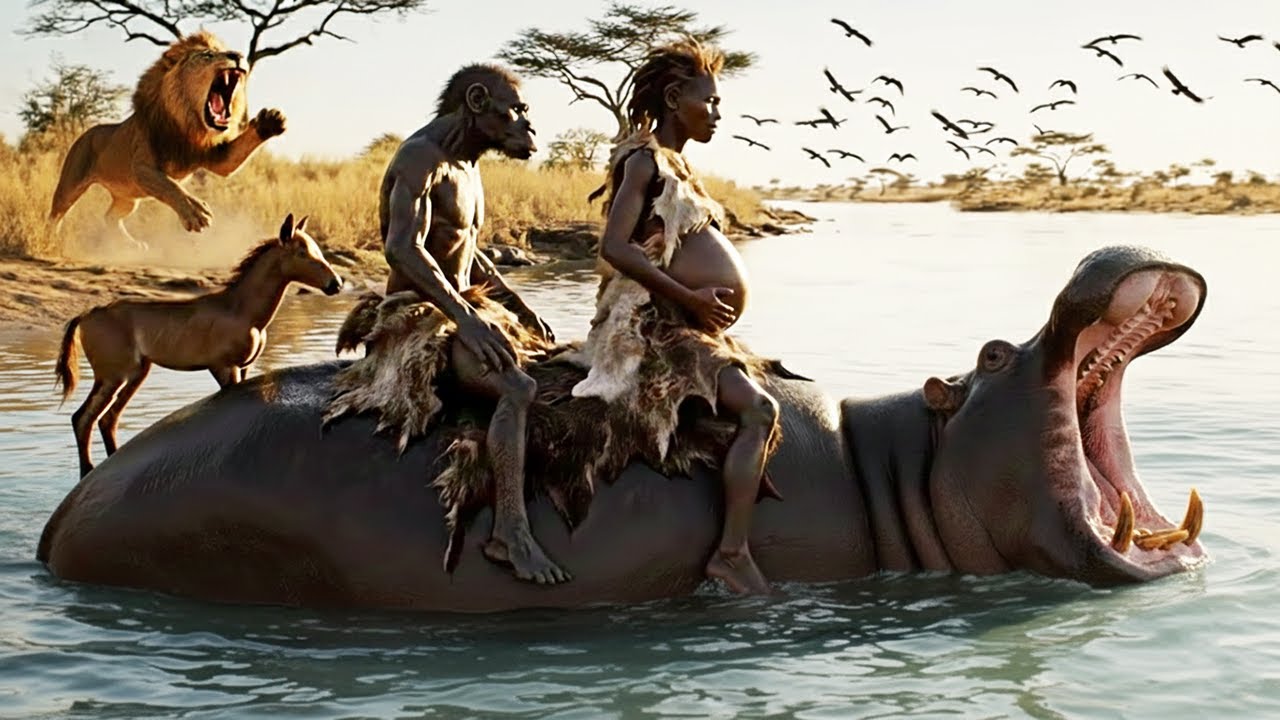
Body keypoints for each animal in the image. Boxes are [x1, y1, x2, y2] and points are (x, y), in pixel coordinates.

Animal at [49, 31, 287, 248]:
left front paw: (270, 121)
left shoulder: (216, 157)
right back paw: (51, 238)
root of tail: (86, 132)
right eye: (208, 55)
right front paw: (195, 212)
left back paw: (133, 244)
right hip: (72, 182)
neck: (189, 125)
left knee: (110, 217)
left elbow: (225, 163)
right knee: (56, 212)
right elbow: (168, 185)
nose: (237, 55)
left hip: (127, 199)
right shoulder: (141, 167)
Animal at [54, 212, 344, 477]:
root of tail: (86, 316)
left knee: (106, 419)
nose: (336, 284)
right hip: (114, 376)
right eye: (302, 253)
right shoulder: (224, 367)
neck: (241, 311)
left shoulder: (244, 368)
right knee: (84, 418)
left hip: (134, 374)